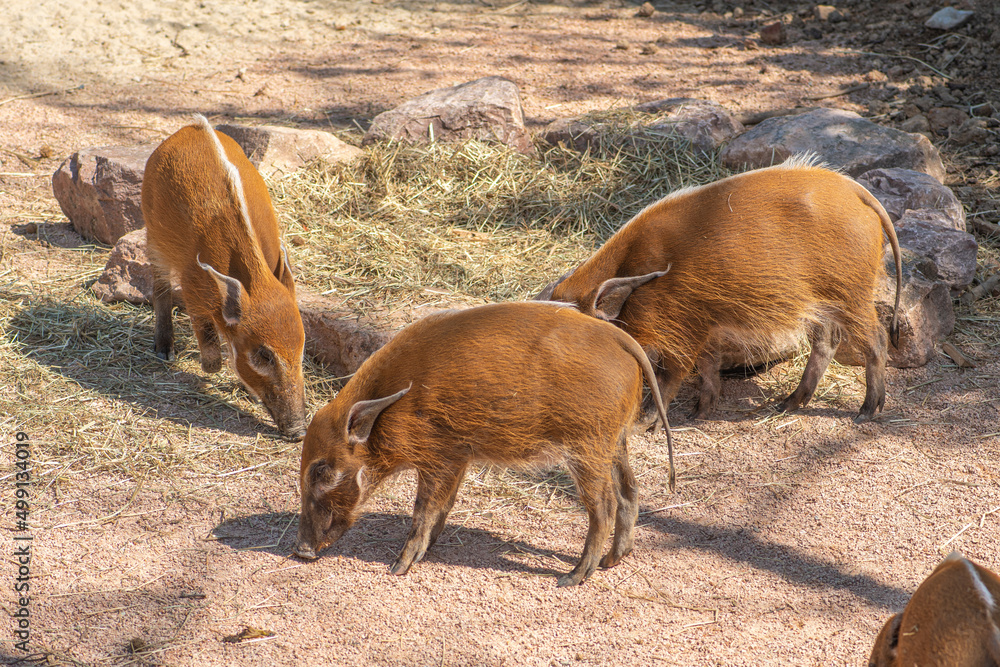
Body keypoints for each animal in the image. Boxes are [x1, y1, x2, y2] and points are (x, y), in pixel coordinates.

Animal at [141, 115, 307, 440]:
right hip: (153, 237)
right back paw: (165, 350)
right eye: (264, 355)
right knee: (161, 287)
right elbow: (210, 349)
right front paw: (210, 367)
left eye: (302, 348)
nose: (298, 431)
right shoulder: (193, 286)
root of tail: (194, 125)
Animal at [294, 301, 673, 587]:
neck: (397, 403)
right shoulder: (458, 457)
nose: (301, 551)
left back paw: (571, 577)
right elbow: (444, 505)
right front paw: (425, 553)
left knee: (604, 506)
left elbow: (424, 509)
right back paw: (612, 560)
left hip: (587, 447)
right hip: (614, 442)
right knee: (630, 490)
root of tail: (623, 340)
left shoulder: (439, 458)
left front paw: (398, 567)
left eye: (321, 470)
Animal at [538, 157, 902, 424]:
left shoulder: (682, 329)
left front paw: (647, 420)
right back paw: (787, 404)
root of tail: (858, 192)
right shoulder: (702, 326)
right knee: (827, 341)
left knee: (876, 339)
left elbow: (672, 376)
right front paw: (700, 412)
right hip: (820, 300)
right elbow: (708, 368)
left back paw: (867, 411)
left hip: (852, 293)